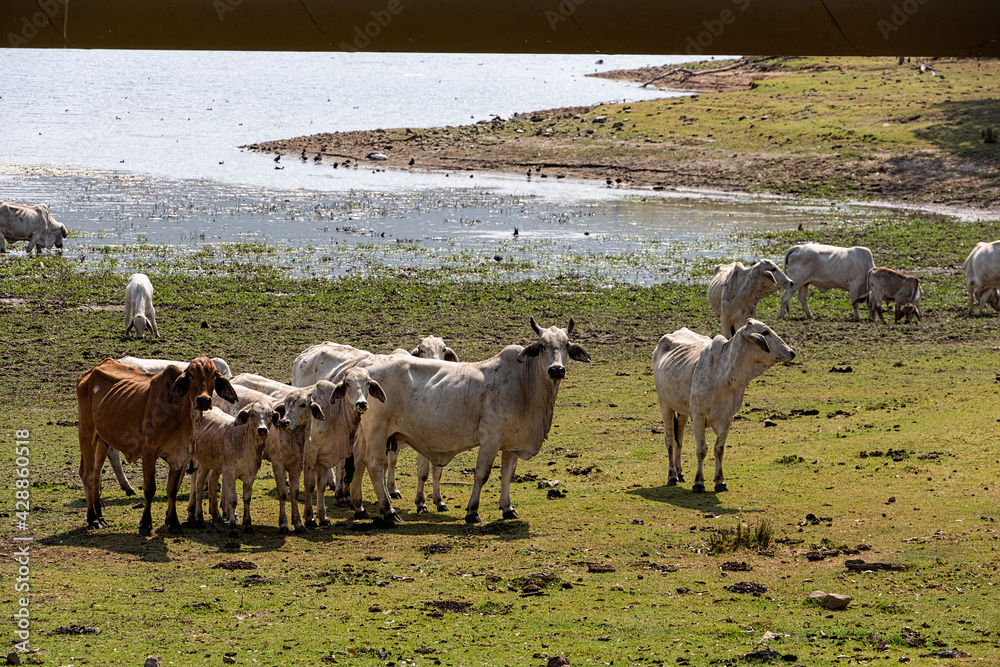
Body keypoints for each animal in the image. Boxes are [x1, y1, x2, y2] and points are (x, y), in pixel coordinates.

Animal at [76, 355, 238, 535]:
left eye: (214, 375)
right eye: (190, 374)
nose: (203, 400)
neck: (179, 413)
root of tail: (91, 370)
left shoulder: (181, 456)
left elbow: (172, 490)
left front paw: (174, 523)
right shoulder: (149, 452)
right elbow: (149, 489)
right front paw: (145, 524)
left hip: (102, 439)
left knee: (96, 474)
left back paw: (100, 516)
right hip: (87, 431)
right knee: (87, 473)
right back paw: (92, 518)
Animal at [185, 401, 276, 538]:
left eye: (270, 414)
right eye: (252, 414)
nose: (262, 429)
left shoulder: (250, 475)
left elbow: (247, 499)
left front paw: (248, 526)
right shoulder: (229, 472)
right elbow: (232, 500)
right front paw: (233, 528)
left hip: (208, 461)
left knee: (206, 481)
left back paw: (213, 516)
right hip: (198, 459)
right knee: (198, 484)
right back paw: (199, 517)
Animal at [350, 317, 590, 525]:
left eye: (567, 344)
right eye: (541, 345)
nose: (556, 370)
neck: (525, 384)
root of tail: (367, 365)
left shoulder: (511, 443)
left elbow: (507, 475)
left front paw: (507, 508)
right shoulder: (490, 439)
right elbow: (482, 475)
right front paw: (472, 511)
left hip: (366, 434)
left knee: (359, 460)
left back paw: (359, 506)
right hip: (378, 431)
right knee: (375, 465)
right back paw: (388, 510)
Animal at [652, 319, 795, 493]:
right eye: (765, 332)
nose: (791, 352)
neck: (725, 374)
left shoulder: (727, 417)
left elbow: (719, 449)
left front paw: (720, 481)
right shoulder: (698, 416)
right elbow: (701, 450)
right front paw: (698, 483)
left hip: (682, 410)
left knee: (679, 438)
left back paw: (680, 473)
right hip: (664, 403)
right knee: (670, 440)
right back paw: (672, 476)